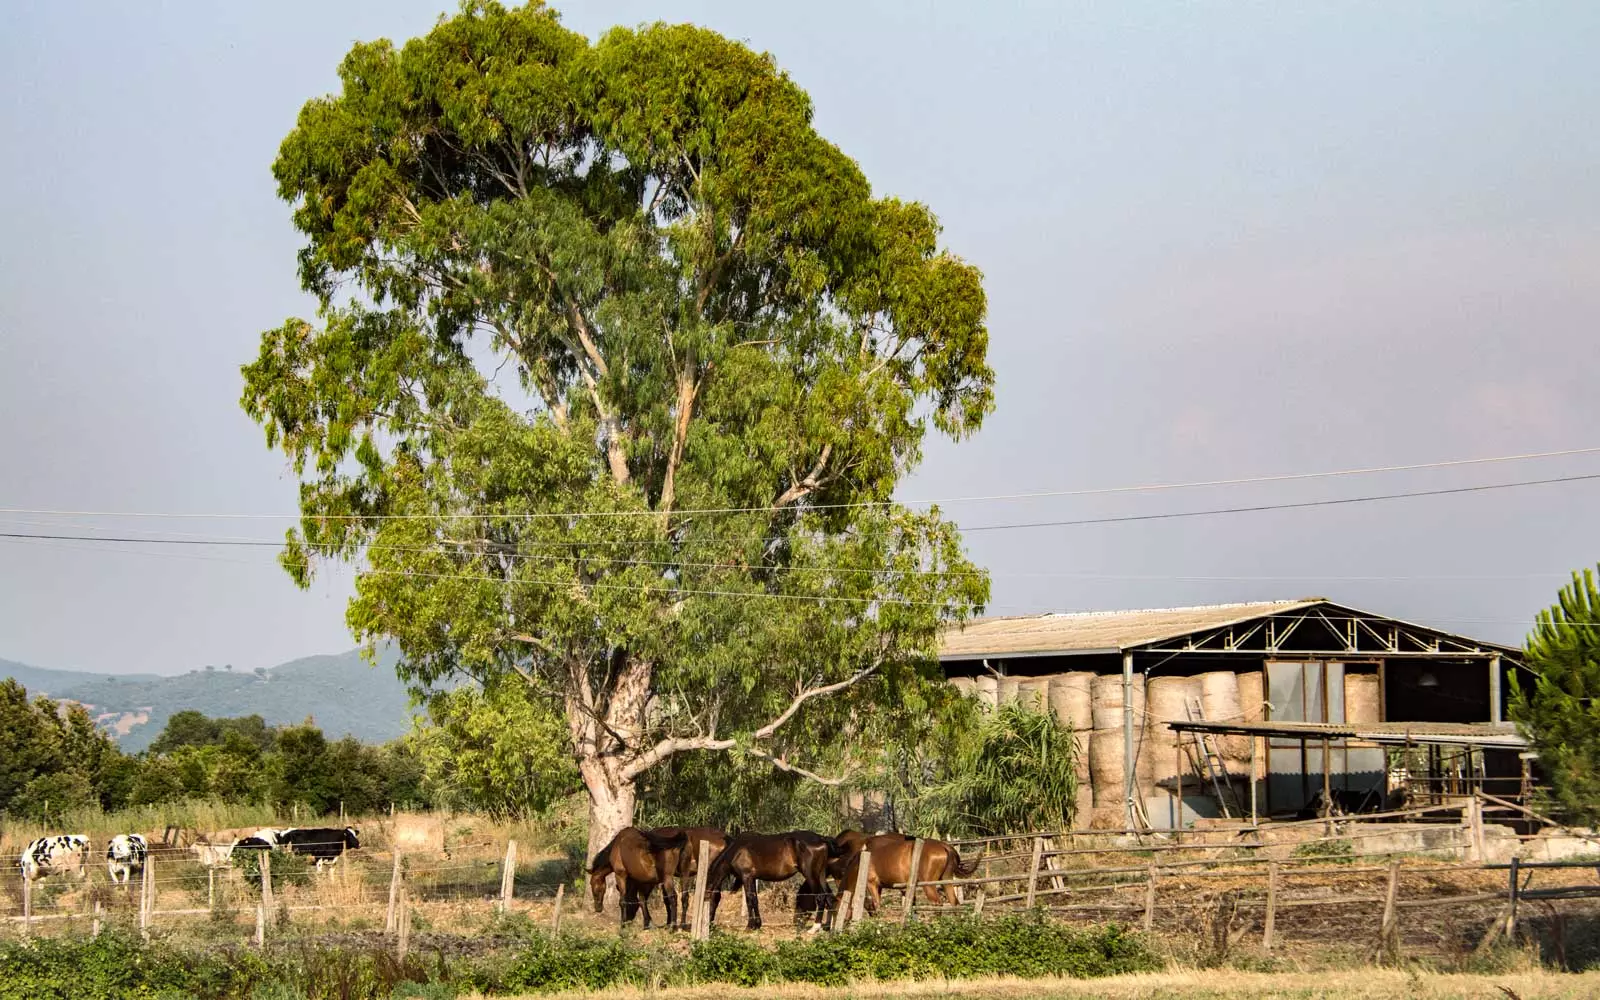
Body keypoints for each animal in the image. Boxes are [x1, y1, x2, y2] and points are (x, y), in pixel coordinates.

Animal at [710, 825, 844, 928]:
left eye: (710, 900)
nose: (710, 924)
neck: (737, 850)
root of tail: (822, 839)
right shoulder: (752, 878)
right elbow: (755, 900)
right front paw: (757, 924)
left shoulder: (746, 877)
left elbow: (749, 900)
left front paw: (750, 925)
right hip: (820, 876)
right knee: (829, 899)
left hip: (811, 876)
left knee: (821, 897)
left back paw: (814, 928)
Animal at [832, 832, 979, 915]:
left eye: (836, 912)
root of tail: (945, 846)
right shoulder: (883, 887)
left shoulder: (872, 885)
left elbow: (878, 907)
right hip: (946, 881)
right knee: (955, 904)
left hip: (929, 886)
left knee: (938, 905)